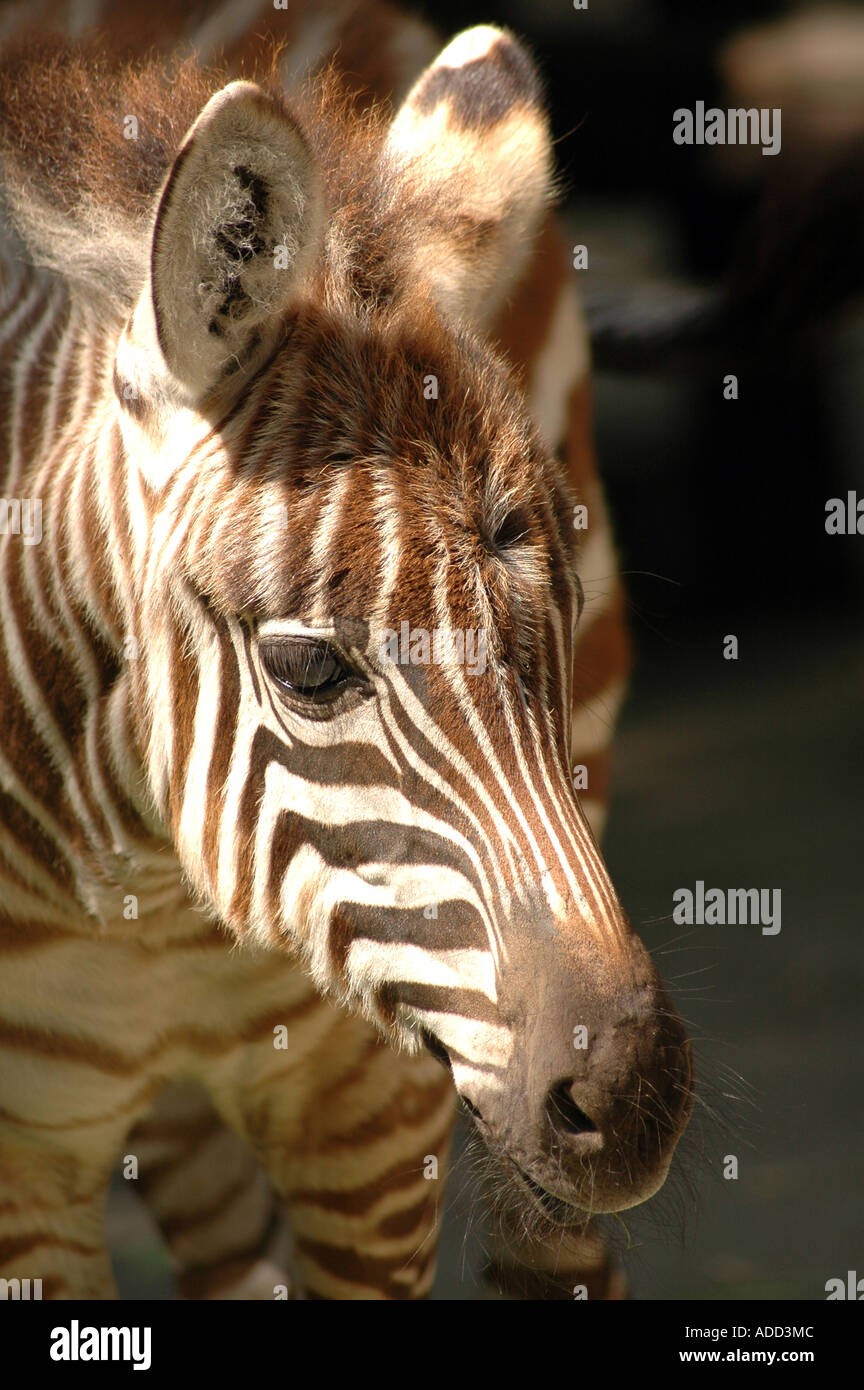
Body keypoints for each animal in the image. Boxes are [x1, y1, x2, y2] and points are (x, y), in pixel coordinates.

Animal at [0, 1, 693, 1299]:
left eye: (560, 611)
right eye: (308, 668)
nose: (630, 1098)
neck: (144, 892)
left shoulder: (376, 1108)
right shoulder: (29, 1153)